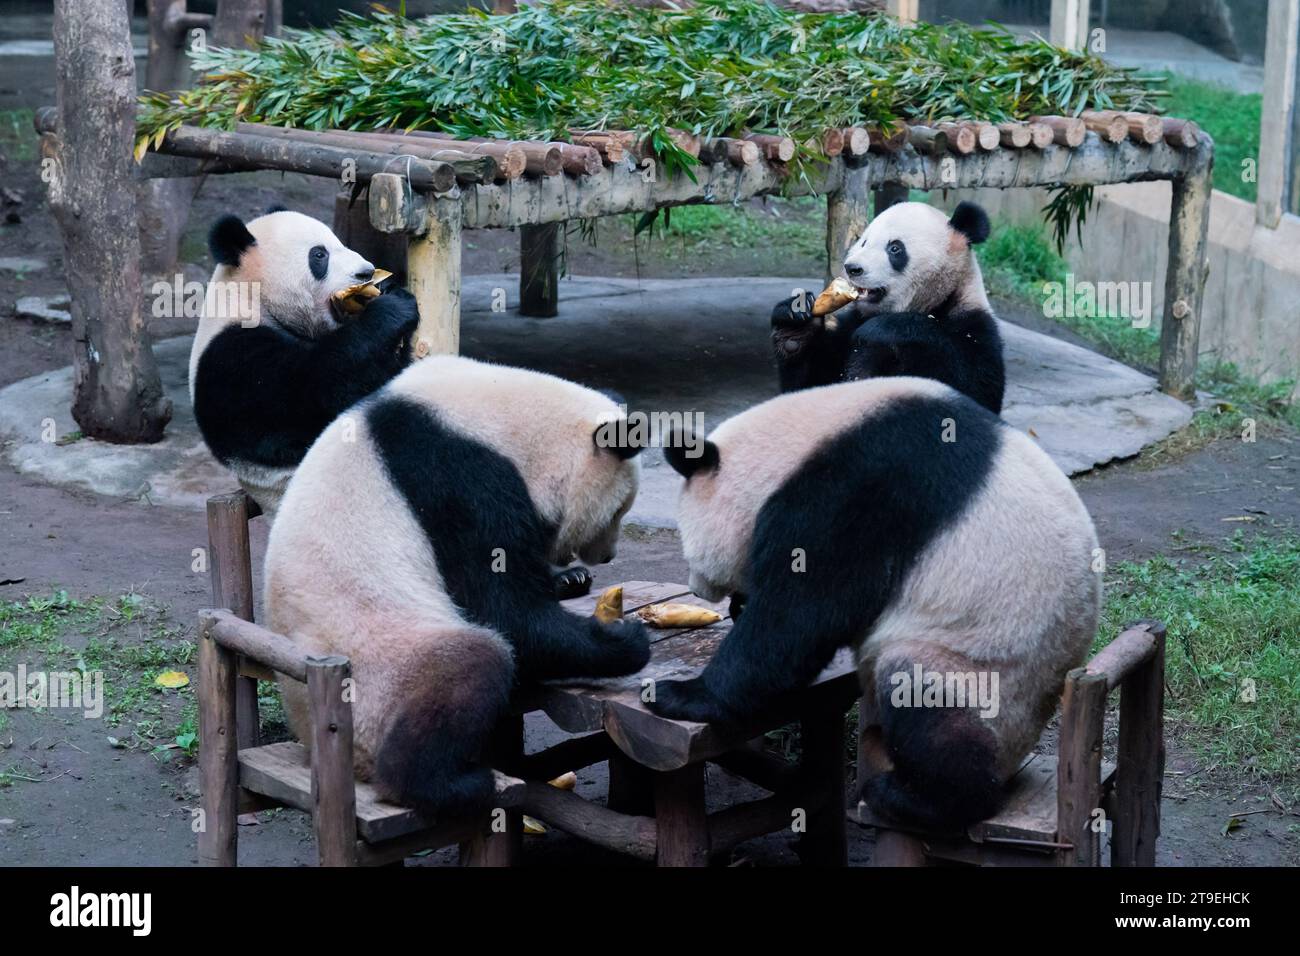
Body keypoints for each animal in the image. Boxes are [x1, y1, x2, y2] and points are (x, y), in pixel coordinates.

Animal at [188, 208, 418, 517]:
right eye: (319, 255)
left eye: (339, 242)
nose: (367, 272)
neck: (252, 297)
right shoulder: (232, 359)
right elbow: (313, 391)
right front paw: (392, 308)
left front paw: (393, 290)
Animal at [264, 355, 651, 814]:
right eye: (620, 509)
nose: (606, 555)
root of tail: (314, 736)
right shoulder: (458, 481)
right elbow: (511, 616)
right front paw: (624, 639)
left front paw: (570, 579)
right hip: (380, 670)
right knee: (474, 663)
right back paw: (446, 784)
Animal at [652, 375, 1100, 829]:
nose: (697, 588)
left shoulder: (859, 491)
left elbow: (801, 612)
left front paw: (682, 694)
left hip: (983, 674)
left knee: (924, 698)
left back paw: (910, 798)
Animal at [772, 201, 1005, 414]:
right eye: (864, 242)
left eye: (895, 248)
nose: (852, 268)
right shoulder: (849, 325)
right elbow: (812, 389)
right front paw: (794, 325)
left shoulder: (974, 326)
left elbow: (975, 387)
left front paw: (879, 329)